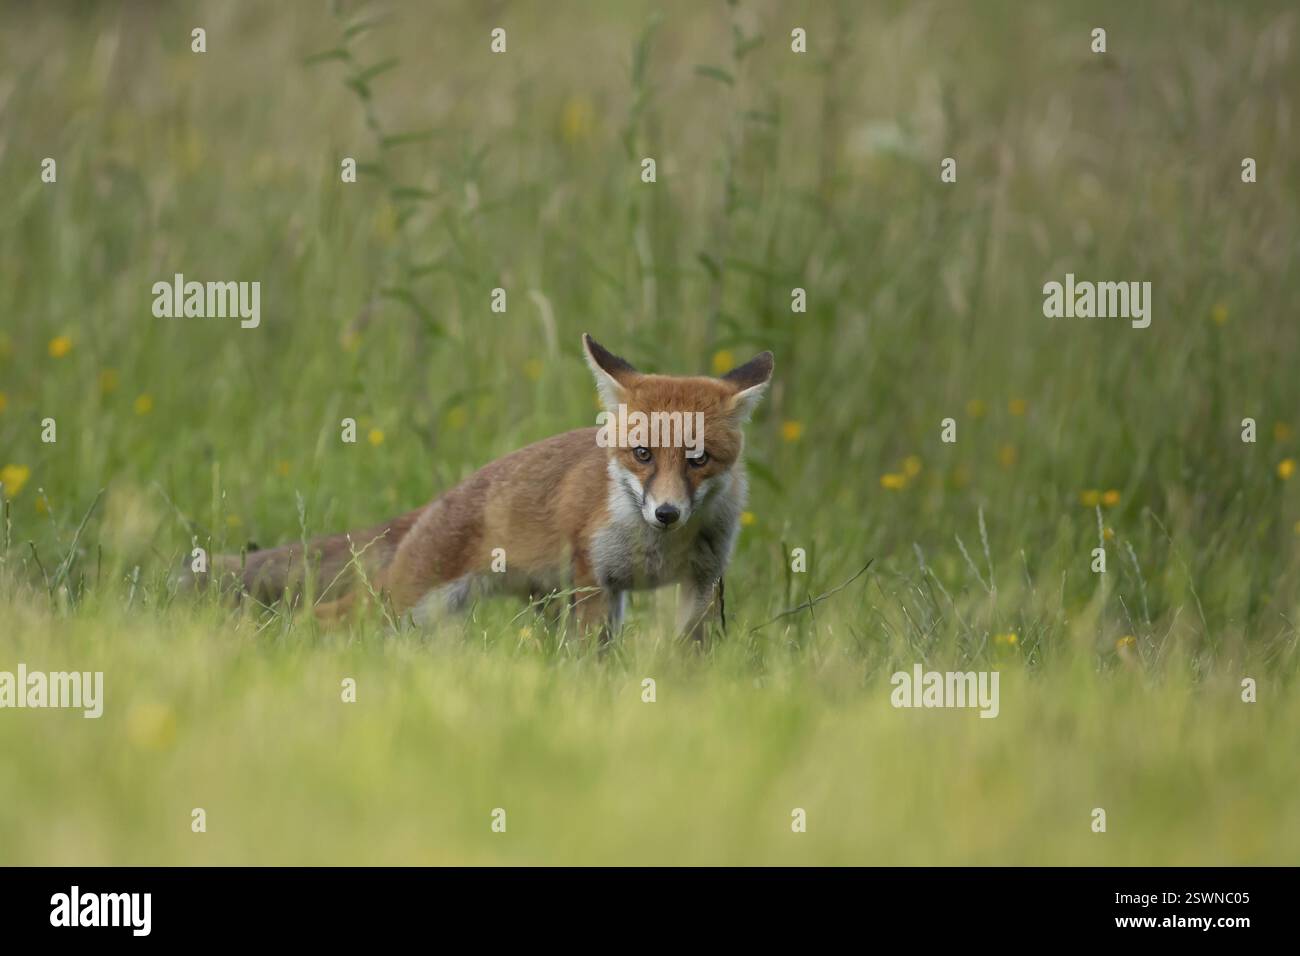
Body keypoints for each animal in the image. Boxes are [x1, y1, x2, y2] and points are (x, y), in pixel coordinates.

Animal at [192, 334, 773, 641]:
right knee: (321, 617)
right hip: (403, 603)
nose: (667, 513)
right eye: (643, 454)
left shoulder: (700, 582)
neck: (657, 549)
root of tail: (442, 497)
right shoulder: (597, 582)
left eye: (698, 459)